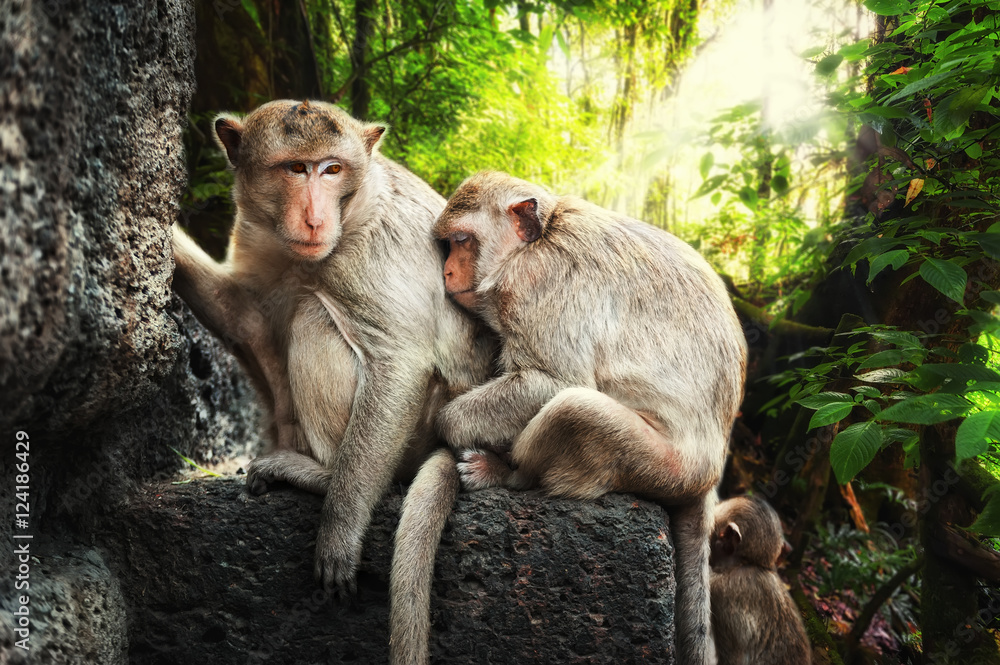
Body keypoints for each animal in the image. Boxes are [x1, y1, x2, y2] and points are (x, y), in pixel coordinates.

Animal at [171, 100, 496, 665]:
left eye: (332, 169)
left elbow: (398, 360)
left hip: (416, 429)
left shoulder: (370, 252)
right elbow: (240, 316)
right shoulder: (255, 235)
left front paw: (339, 530)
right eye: (296, 168)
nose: (315, 216)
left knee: (312, 316)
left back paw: (320, 475)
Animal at [431, 171, 748, 665]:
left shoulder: (539, 283)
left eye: (462, 241)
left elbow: (553, 381)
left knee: (574, 408)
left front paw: (445, 422)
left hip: (667, 468)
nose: (447, 271)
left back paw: (507, 473)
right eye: (447, 245)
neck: (539, 238)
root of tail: (713, 470)